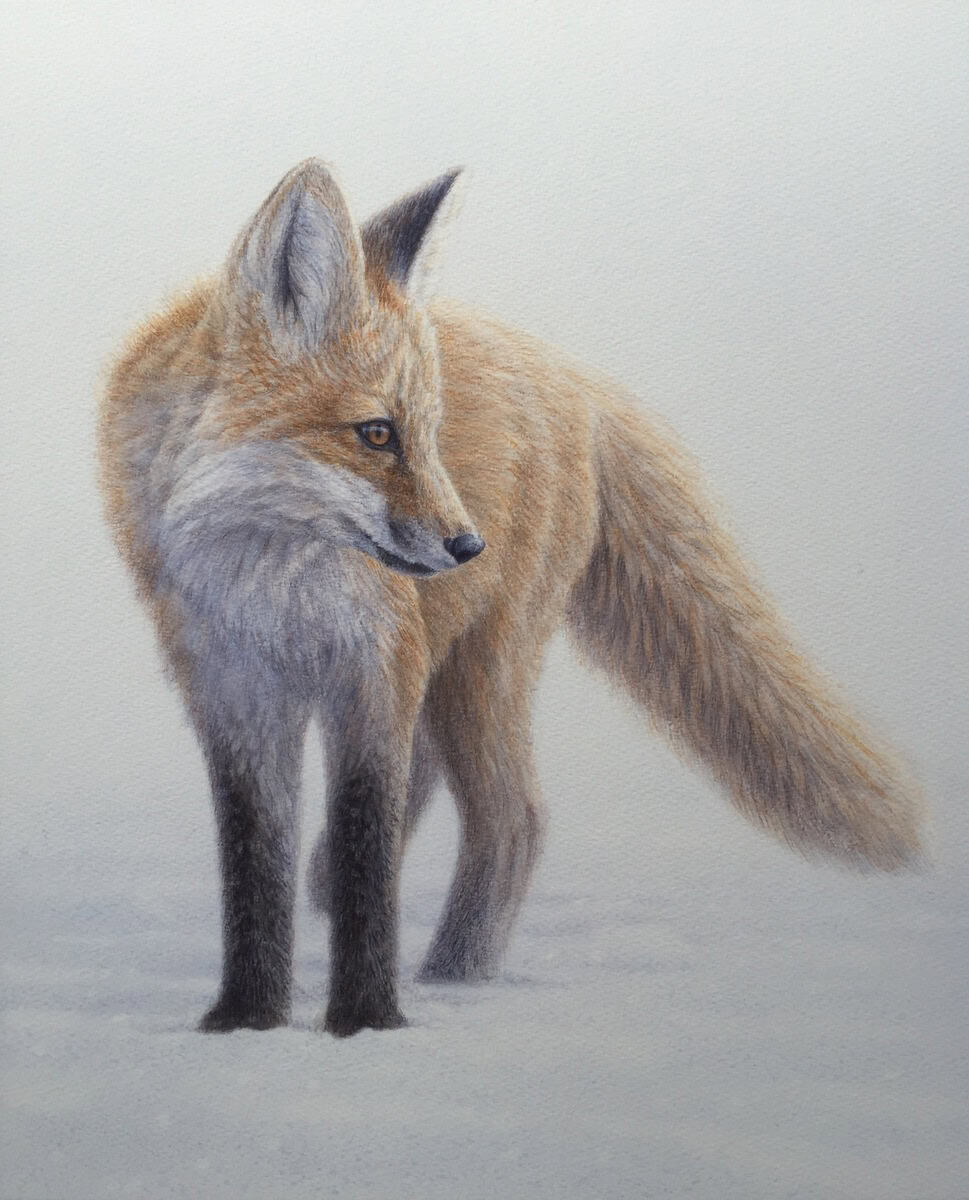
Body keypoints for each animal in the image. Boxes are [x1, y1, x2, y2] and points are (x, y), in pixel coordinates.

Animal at [98, 158, 923, 1037]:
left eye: (429, 434)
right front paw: (247, 1016)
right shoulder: (234, 691)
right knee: (435, 783)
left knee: (513, 818)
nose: (468, 548)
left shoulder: (372, 667)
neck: (272, 578)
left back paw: (454, 972)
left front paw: (366, 1017)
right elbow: (255, 860)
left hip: (482, 668)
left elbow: (366, 848)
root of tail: (573, 374)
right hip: (442, 670)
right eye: (376, 434)